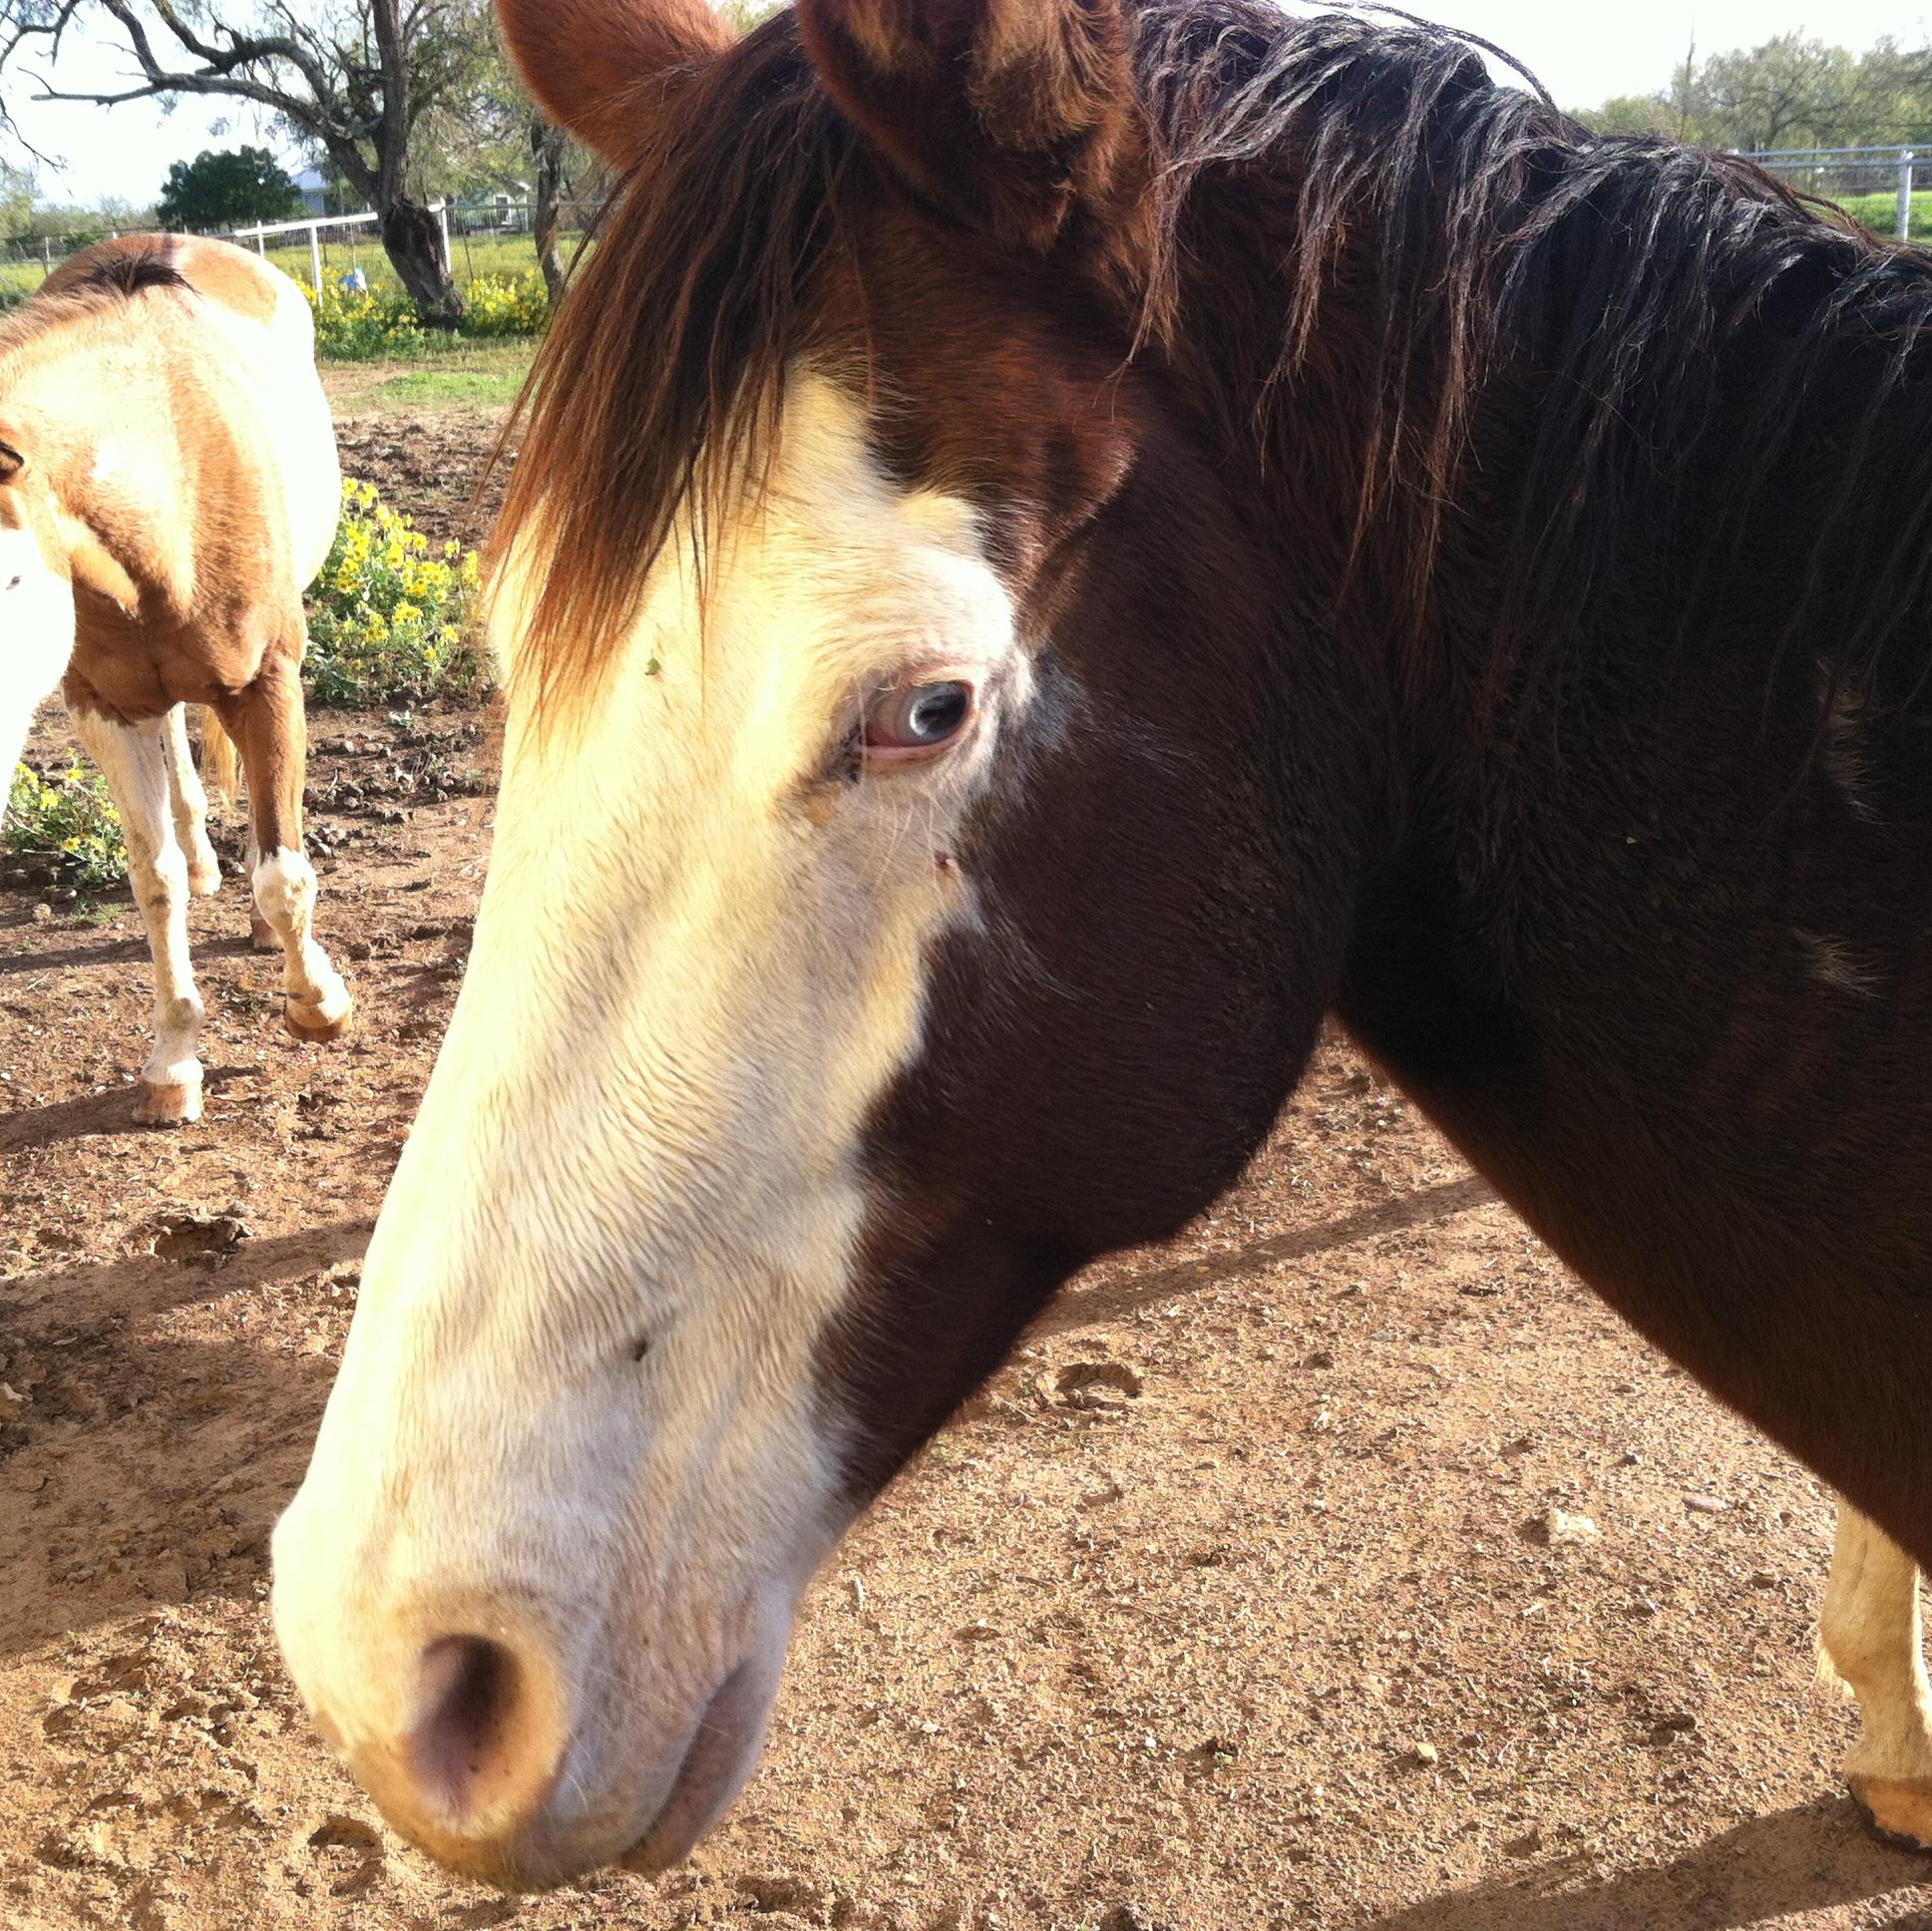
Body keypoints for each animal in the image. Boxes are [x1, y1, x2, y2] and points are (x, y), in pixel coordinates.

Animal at [1, 235, 353, 1125]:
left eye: (13, 578)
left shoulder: (269, 683)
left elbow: (283, 875)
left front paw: (317, 1003)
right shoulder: (103, 707)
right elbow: (153, 885)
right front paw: (173, 1063)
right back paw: (201, 861)